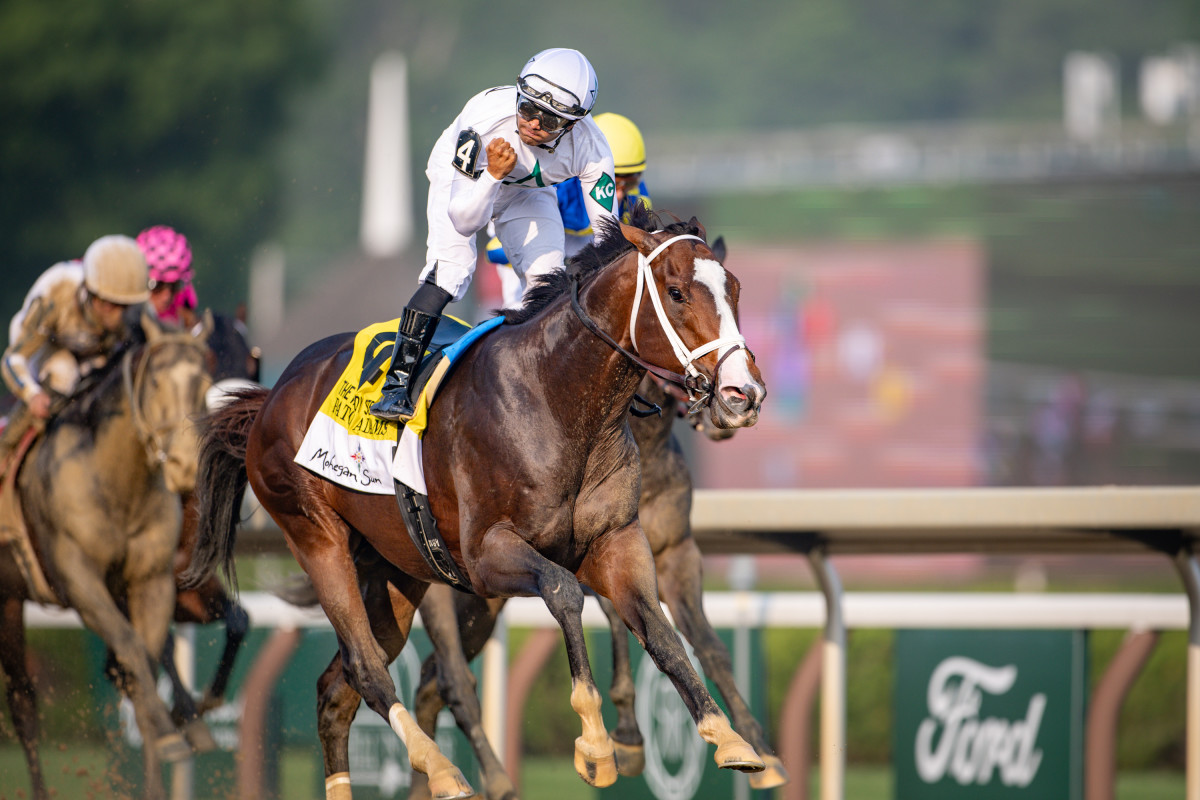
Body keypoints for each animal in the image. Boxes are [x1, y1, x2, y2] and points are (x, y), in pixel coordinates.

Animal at [0, 314, 213, 800]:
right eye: (155, 382)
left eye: (205, 383)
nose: (184, 468)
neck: (117, 487)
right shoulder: (78, 581)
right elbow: (132, 650)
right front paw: (170, 733)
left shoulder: (151, 581)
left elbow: (142, 663)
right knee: (22, 705)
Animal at [184, 207, 766, 800]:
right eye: (676, 292)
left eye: (735, 288)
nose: (744, 393)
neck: (557, 398)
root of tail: (271, 397)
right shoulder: (487, 555)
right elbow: (564, 593)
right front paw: (597, 745)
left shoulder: (618, 541)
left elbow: (663, 633)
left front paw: (731, 738)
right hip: (316, 535)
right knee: (369, 669)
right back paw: (442, 768)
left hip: (396, 570)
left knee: (336, 690)